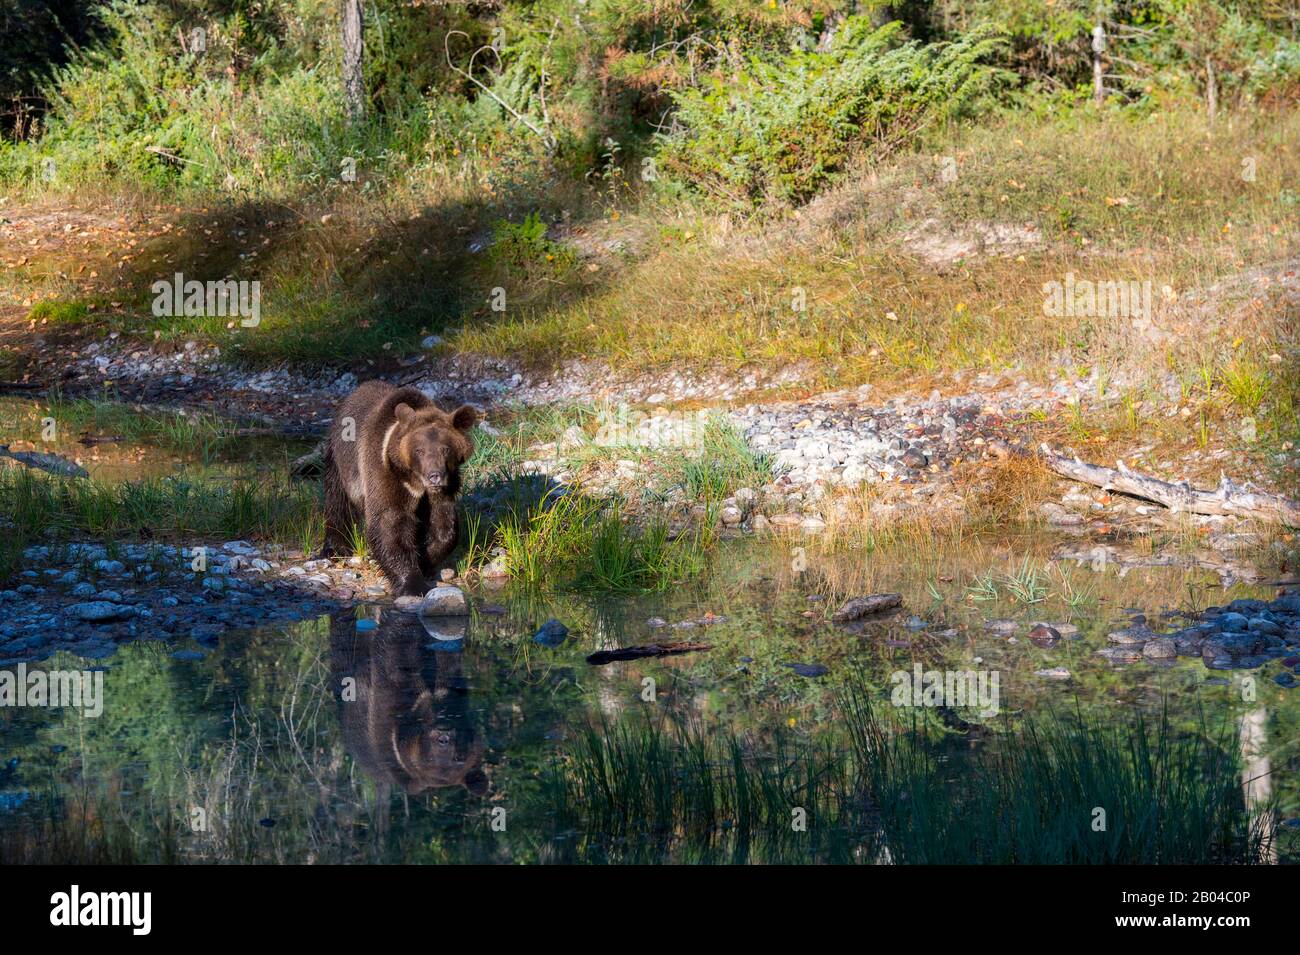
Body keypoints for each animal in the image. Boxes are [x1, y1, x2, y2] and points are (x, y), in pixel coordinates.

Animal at [321, 380, 477, 598]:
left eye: (445, 448)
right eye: (419, 450)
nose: (435, 476)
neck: (415, 482)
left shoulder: (444, 489)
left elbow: (445, 526)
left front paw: (425, 558)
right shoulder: (384, 474)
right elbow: (390, 522)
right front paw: (412, 583)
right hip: (340, 457)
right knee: (337, 499)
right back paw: (335, 548)